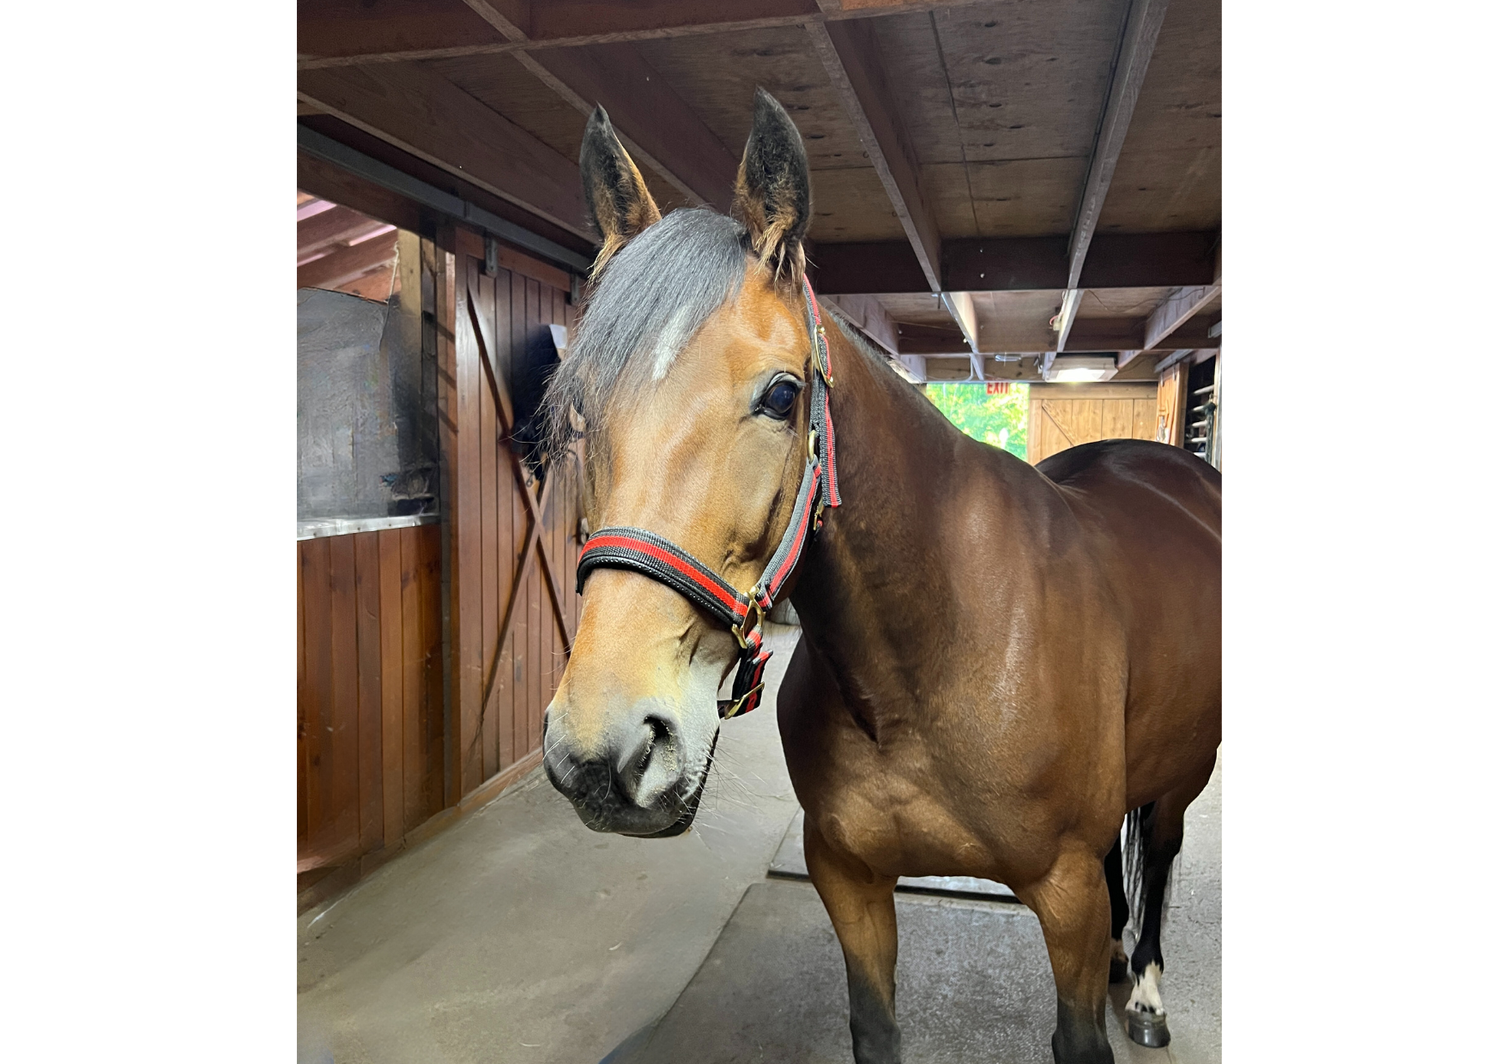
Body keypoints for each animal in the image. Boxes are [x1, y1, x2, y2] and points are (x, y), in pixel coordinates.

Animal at [540, 89, 1221, 1064]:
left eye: (782, 395)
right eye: (576, 409)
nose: (606, 754)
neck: (930, 662)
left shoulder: (1066, 900)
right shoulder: (850, 879)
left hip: (1184, 772)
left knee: (1158, 852)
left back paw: (1150, 989)